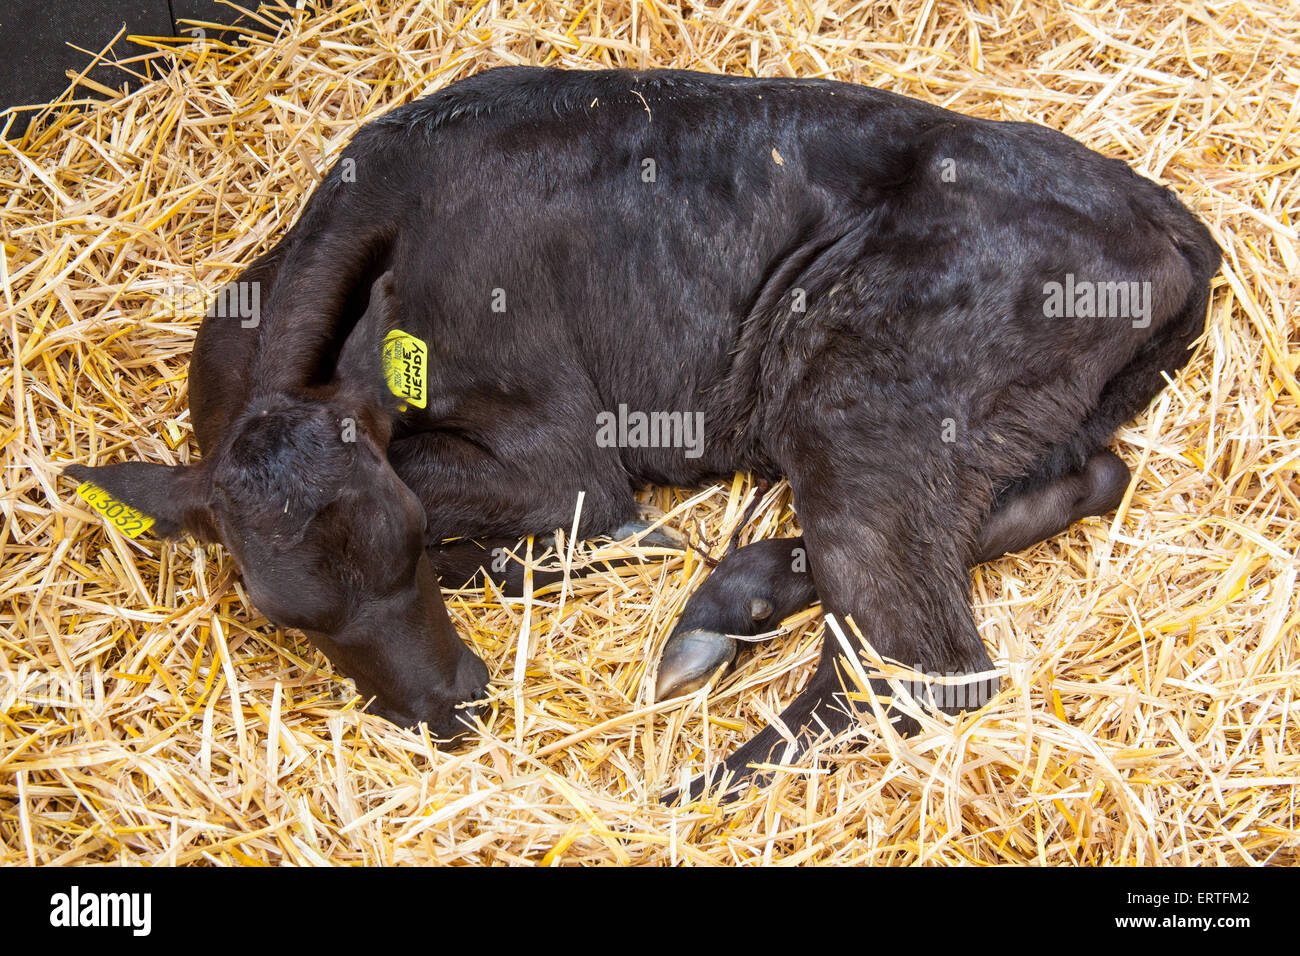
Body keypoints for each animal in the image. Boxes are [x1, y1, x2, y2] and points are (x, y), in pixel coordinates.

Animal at [66, 66, 1220, 799]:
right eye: (277, 612)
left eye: (405, 544)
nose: (450, 705)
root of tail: (1160, 210)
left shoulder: (558, 462)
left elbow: (547, 507)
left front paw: (570, 554)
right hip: (1010, 417)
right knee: (1084, 484)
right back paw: (727, 602)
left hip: (862, 389)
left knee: (917, 658)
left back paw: (686, 786)